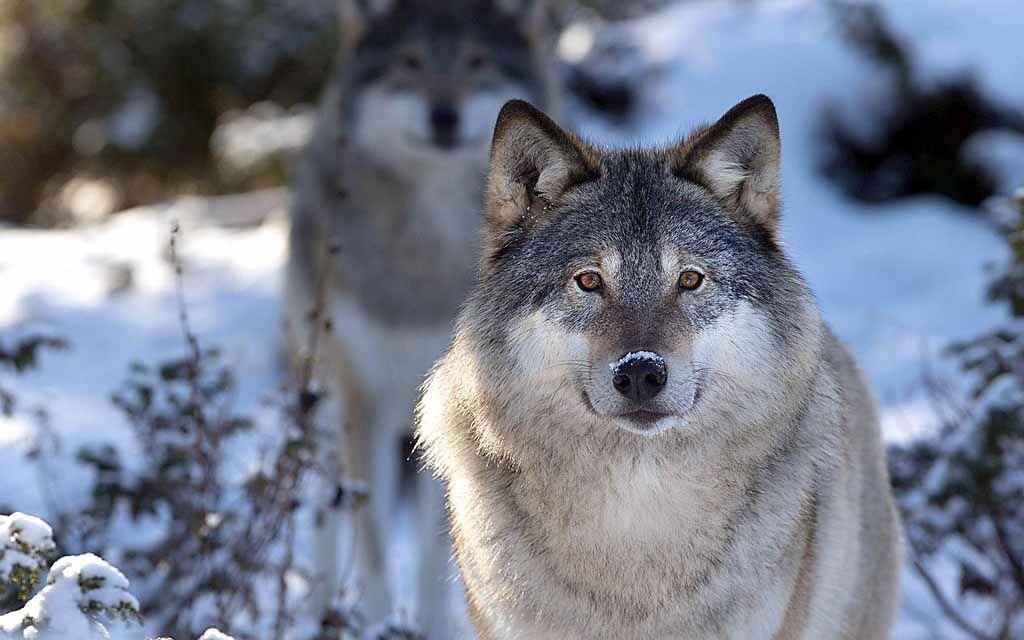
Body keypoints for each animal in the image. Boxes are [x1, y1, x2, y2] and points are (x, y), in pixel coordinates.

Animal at [283, 0, 559, 635]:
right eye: (409, 63)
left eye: (477, 61)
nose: (444, 115)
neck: (424, 256)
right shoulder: (361, 398)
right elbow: (373, 541)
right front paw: (380, 621)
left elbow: (441, 545)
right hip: (323, 400)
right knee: (324, 512)